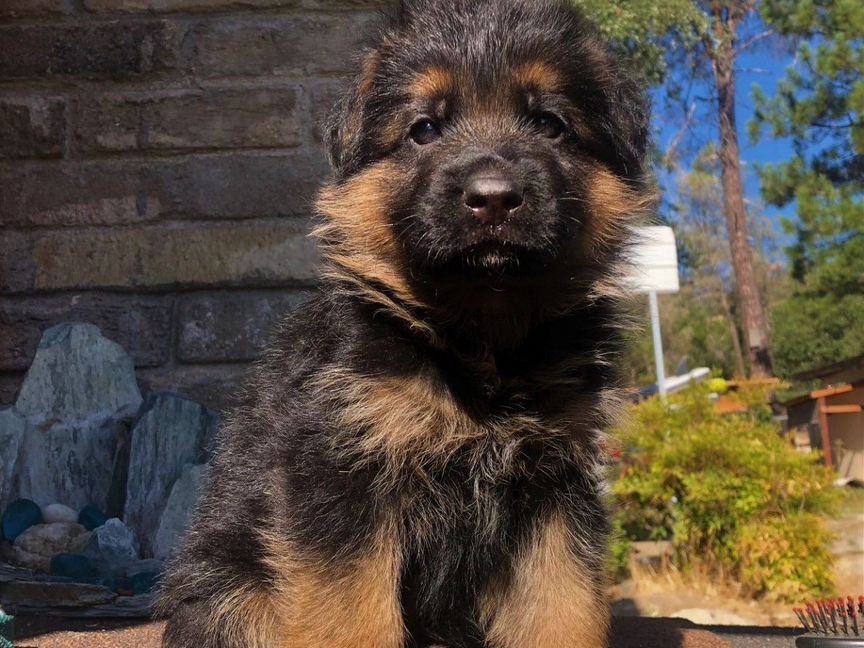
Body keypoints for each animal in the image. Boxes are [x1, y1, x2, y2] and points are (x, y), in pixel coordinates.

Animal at [156, 1, 651, 646]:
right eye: (424, 129)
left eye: (550, 124)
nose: (494, 197)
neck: (483, 338)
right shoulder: (343, 471)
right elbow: (350, 616)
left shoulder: (558, 490)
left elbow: (561, 609)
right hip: (235, 592)